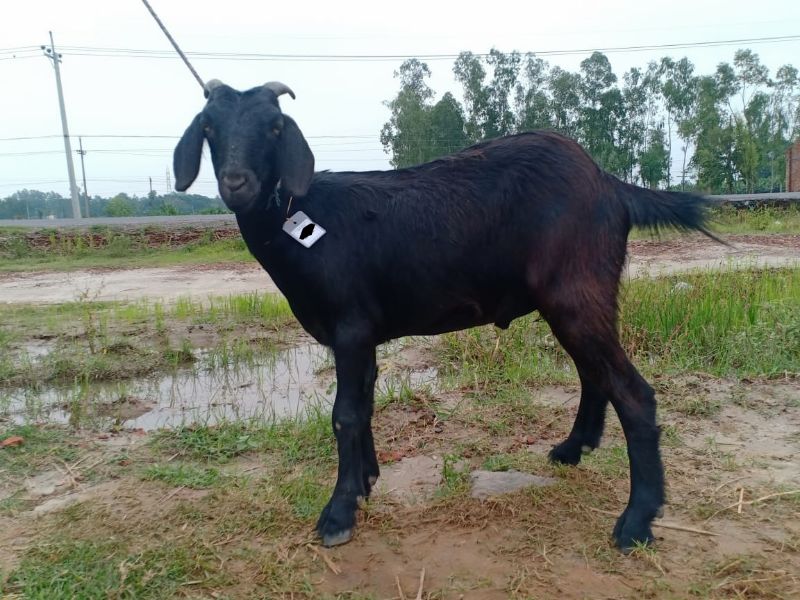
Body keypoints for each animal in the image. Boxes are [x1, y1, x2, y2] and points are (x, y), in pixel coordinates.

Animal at [173, 80, 716, 551]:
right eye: (209, 127)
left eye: (274, 128)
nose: (237, 183)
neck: (303, 219)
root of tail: (610, 186)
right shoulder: (364, 336)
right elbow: (365, 404)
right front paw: (366, 481)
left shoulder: (350, 327)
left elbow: (344, 414)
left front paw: (338, 514)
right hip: (578, 300)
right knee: (594, 374)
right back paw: (572, 449)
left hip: (577, 293)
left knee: (632, 392)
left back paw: (637, 522)